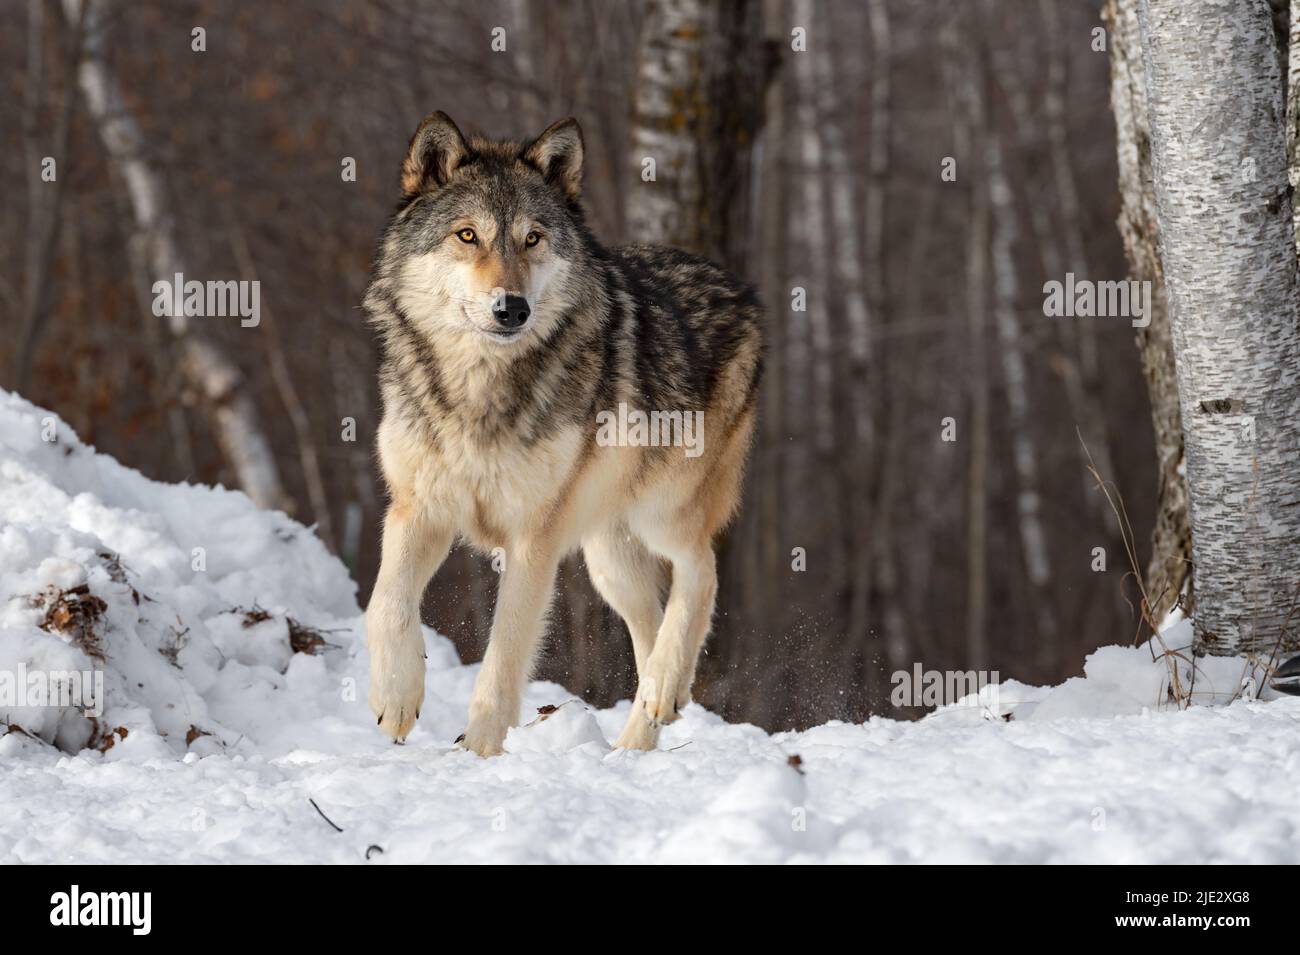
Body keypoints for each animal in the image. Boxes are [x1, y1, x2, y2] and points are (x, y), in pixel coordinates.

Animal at [363, 111, 763, 755]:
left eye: (532, 238)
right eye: (467, 235)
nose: (512, 308)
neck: (479, 389)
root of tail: (738, 288)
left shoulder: (534, 541)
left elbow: (502, 662)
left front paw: (478, 755)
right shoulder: (417, 509)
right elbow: (386, 604)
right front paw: (396, 697)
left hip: (663, 512)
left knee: (701, 573)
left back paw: (663, 688)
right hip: (608, 557)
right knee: (650, 622)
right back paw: (645, 728)